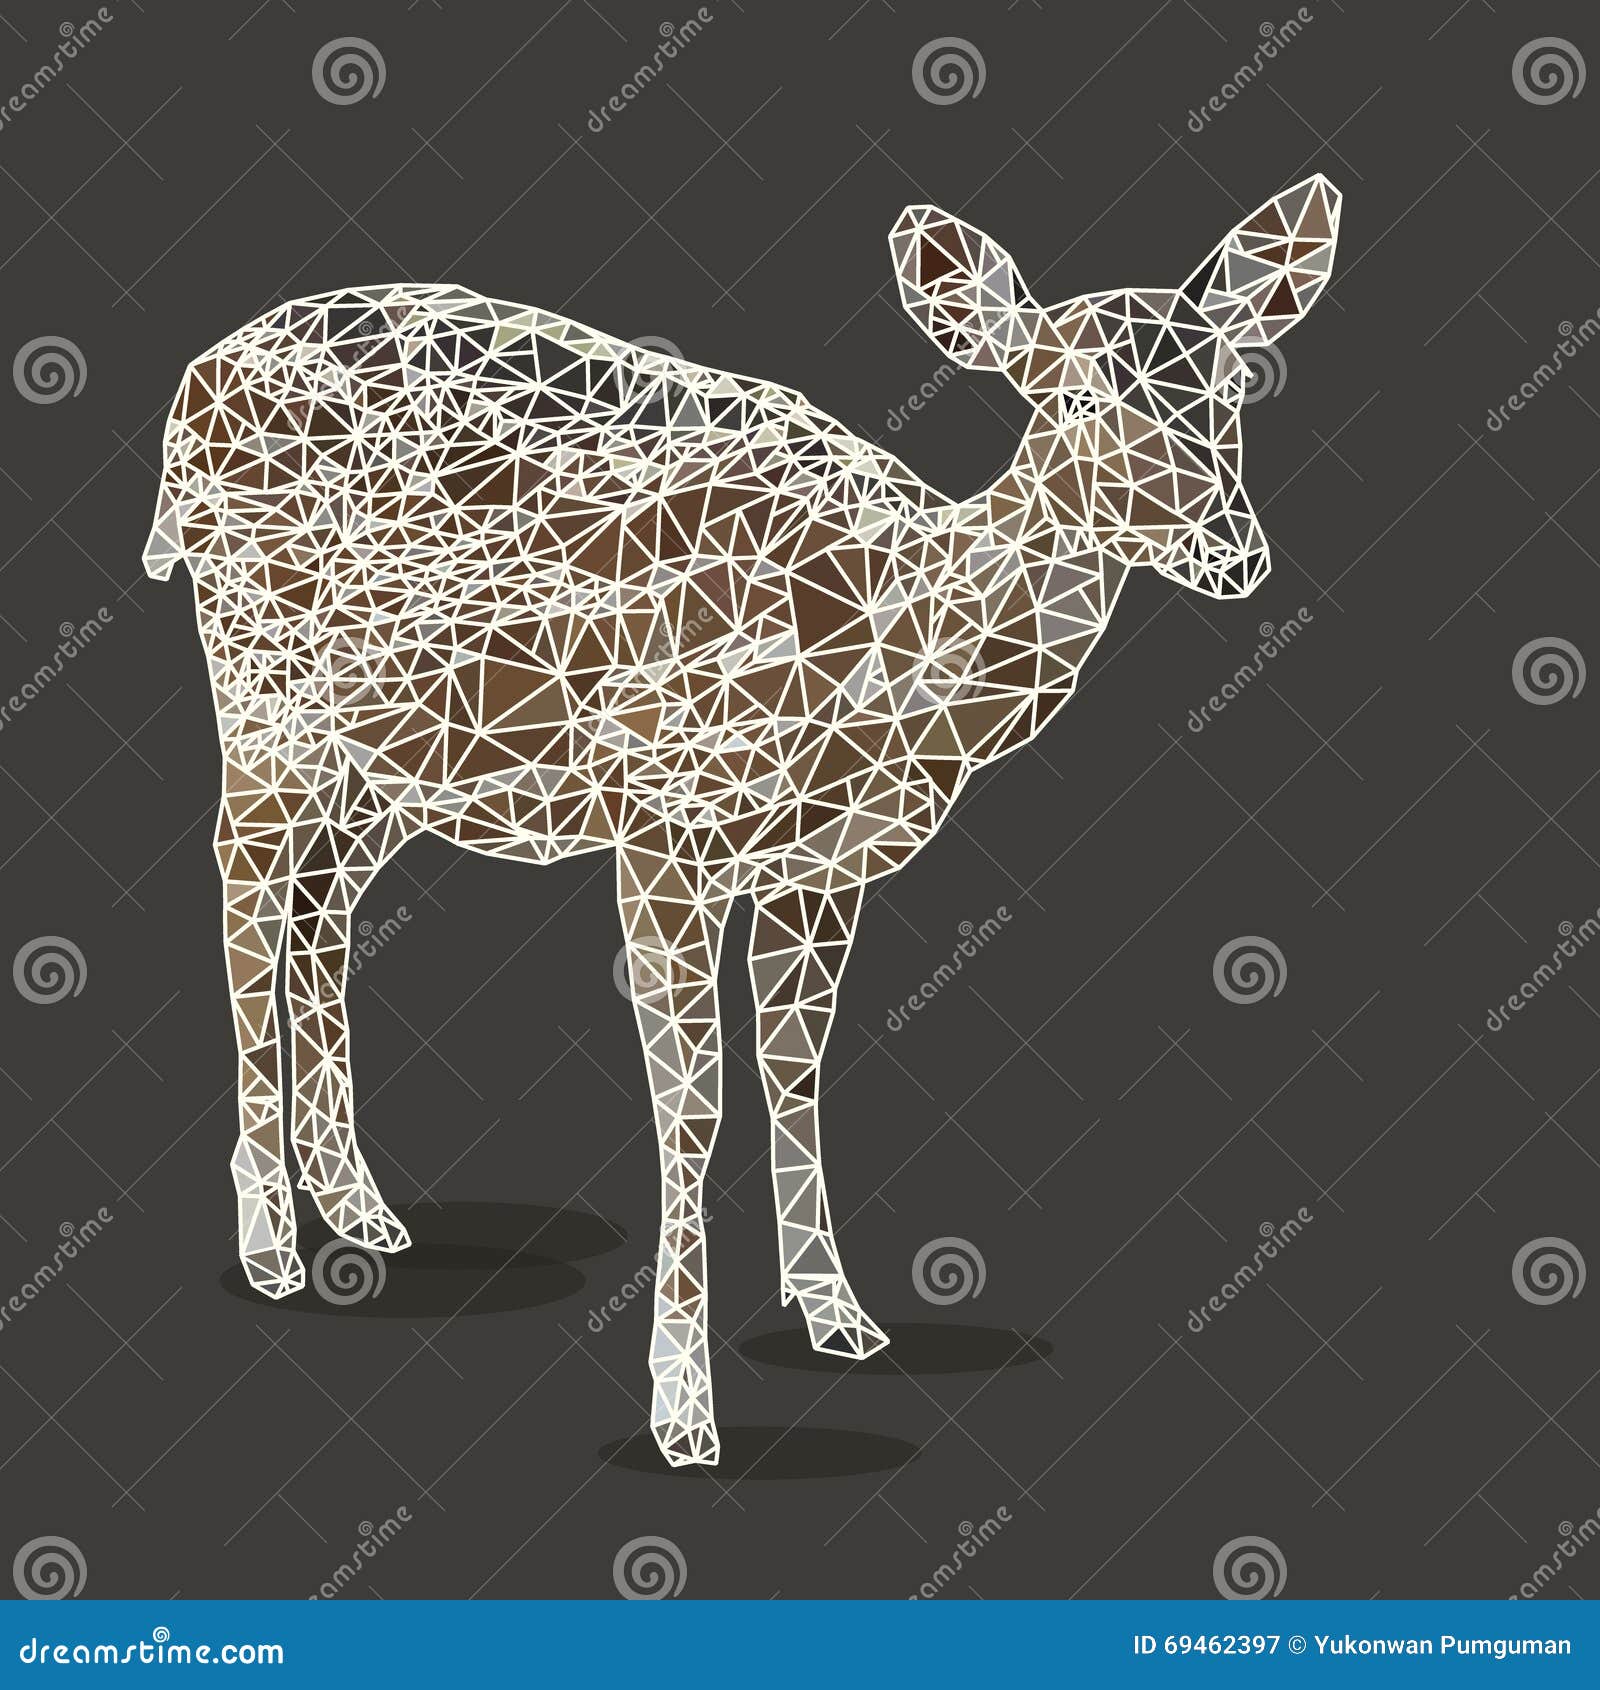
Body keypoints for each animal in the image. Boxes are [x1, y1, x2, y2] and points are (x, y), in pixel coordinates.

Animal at [144, 178, 1340, 1466]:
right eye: (1064, 392)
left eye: (1232, 385)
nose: (1234, 553)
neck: (881, 660)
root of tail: (192, 388)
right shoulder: (665, 828)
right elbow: (696, 1106)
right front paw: (683, 1415)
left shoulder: (821, 870)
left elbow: (795, 1072)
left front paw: (838, 1317)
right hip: (260, 678)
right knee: (242, 884)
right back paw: (272, 1246)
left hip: (404, 748)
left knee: (324, 902)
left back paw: (363, 1212)